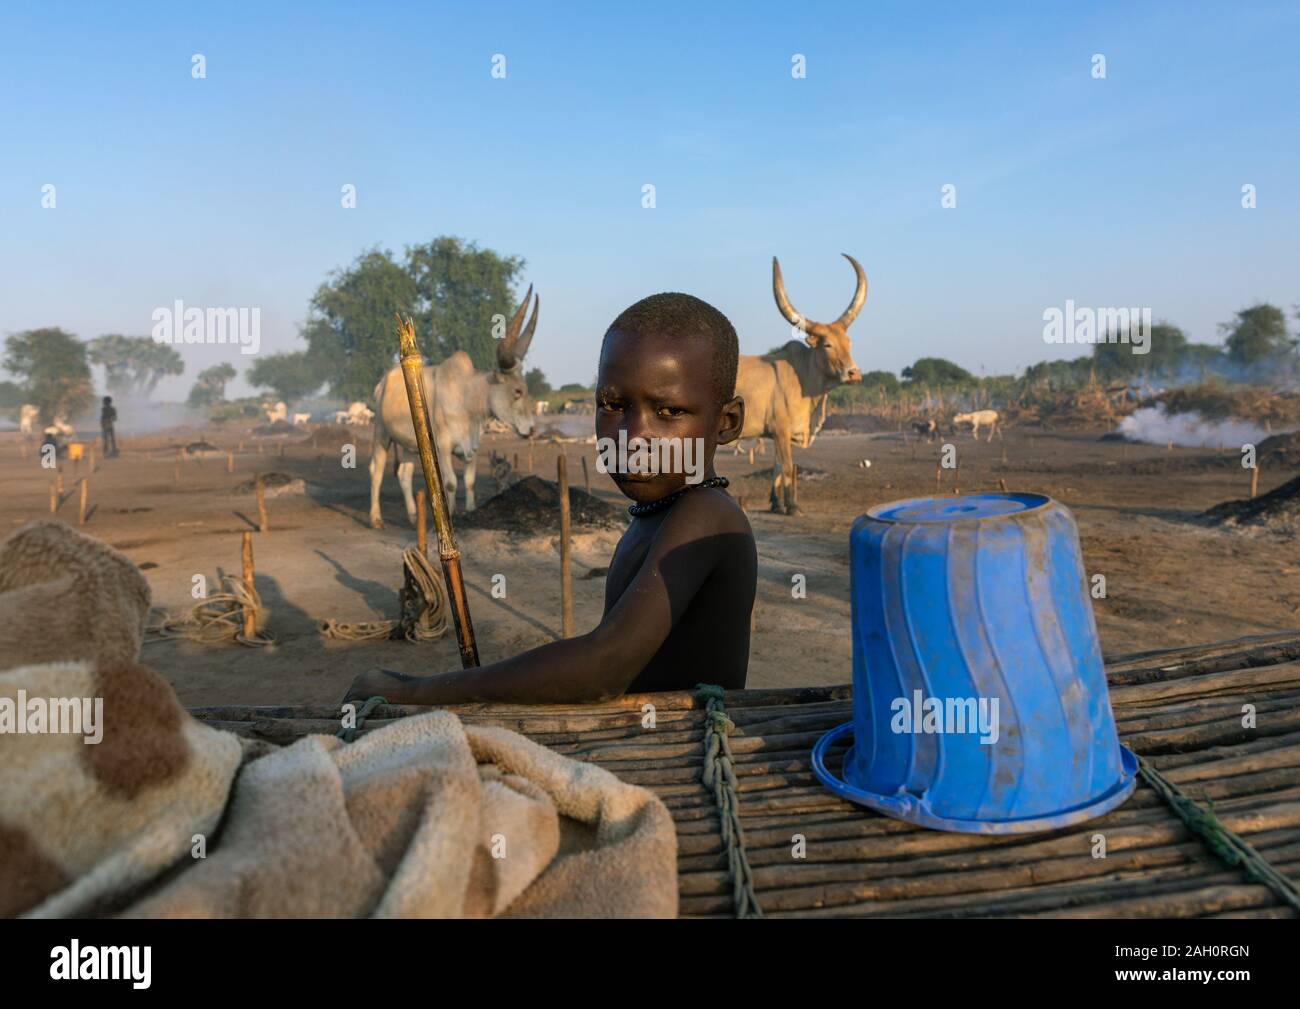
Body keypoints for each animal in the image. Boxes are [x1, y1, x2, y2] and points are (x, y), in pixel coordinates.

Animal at [368, 288, 540, 528]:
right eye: (518, 391)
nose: (531, 429)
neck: (467, 397)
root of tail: (382, 383)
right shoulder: (443, 447)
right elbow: (449, 483)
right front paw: (451, 514)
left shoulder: (471, 448)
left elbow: (469, 481)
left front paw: (470, 510)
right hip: (381, 434)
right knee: (376, 471)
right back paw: (375, 518)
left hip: (412, 444)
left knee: (404, 473)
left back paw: (413, 516)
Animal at [734, 254, 867, 514]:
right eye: (827, 344)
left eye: (848, 342)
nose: (853, 373)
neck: (803, 377)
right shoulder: (781, 431)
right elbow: (787, 467)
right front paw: (793, 506)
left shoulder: (781, 435)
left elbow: (777, 468)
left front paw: (777, 504)